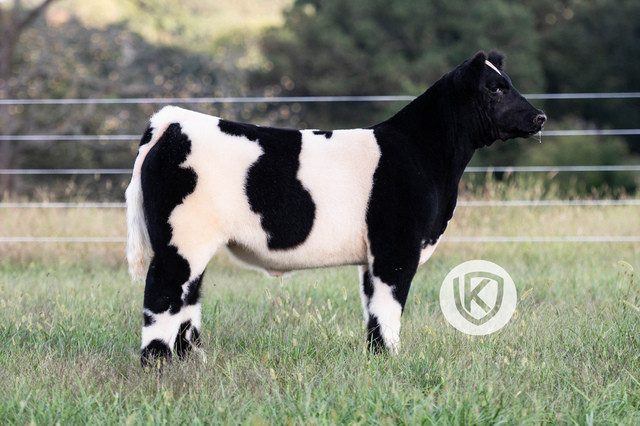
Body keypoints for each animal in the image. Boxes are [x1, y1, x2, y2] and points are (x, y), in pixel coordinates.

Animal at [125, 50, 546, 366]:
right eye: (495, 88)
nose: (539, 116)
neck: (423, 151)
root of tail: (172, 121)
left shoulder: (374, 254)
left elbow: (373, 309)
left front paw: (377, 358)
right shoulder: (396, 246)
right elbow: (389, 306)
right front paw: (392, 359)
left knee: (188, 299)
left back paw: (192, 360)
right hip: (182, 240)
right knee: (162, 293)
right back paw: (157, 365)